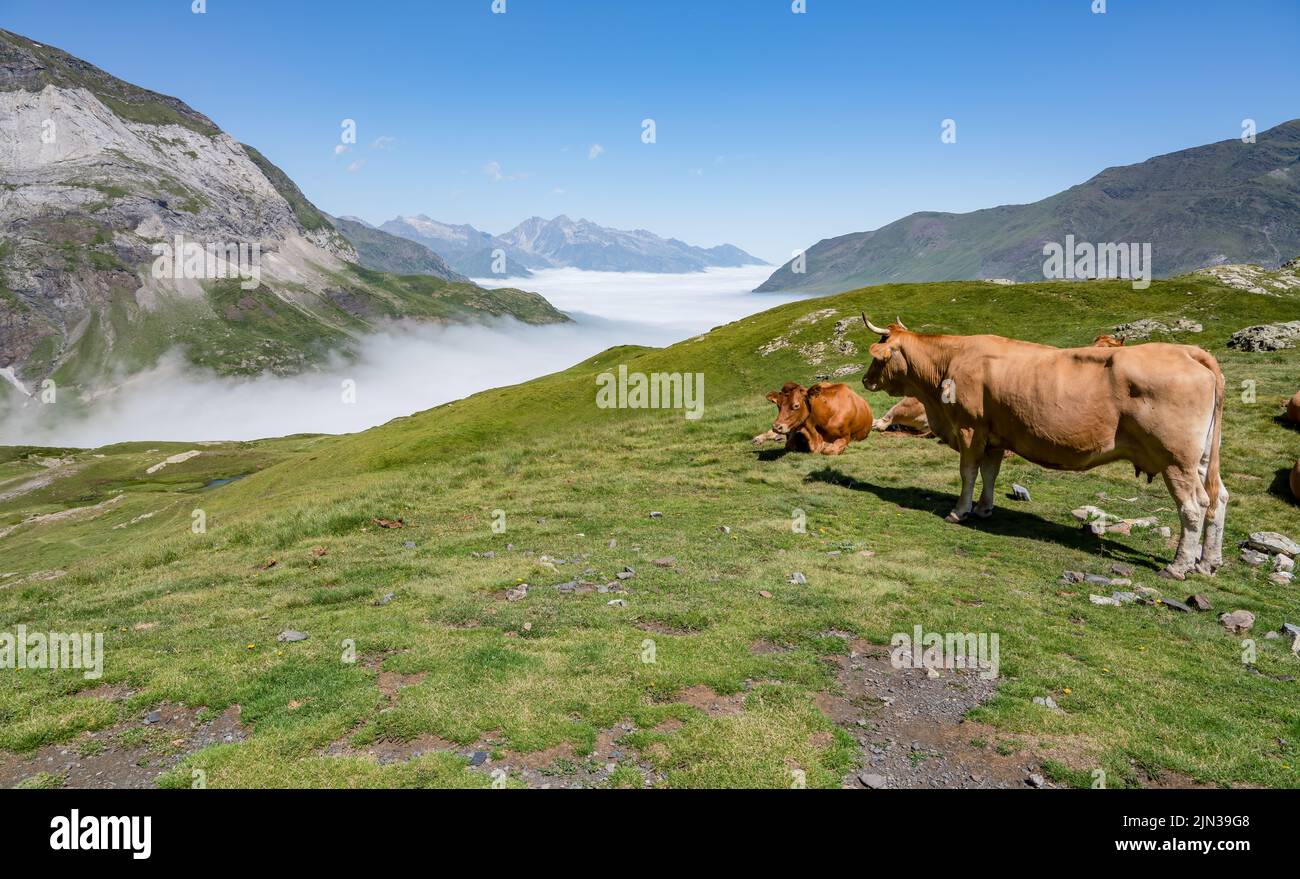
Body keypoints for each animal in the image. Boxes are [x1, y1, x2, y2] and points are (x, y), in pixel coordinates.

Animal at [860, 316, 1226, 580]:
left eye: (879, 353)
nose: (865, 380)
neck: (949, 363)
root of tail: (1188, 351)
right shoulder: (995, 436)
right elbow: (990, 473)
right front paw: (984, 509)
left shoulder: (969, 428)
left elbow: (968, 472)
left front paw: (960, 511)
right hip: (1202, 460)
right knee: (1218, 500)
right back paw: (1207, 562)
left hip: (1176, 461)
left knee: (1194, 507)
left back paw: (1178, 566)